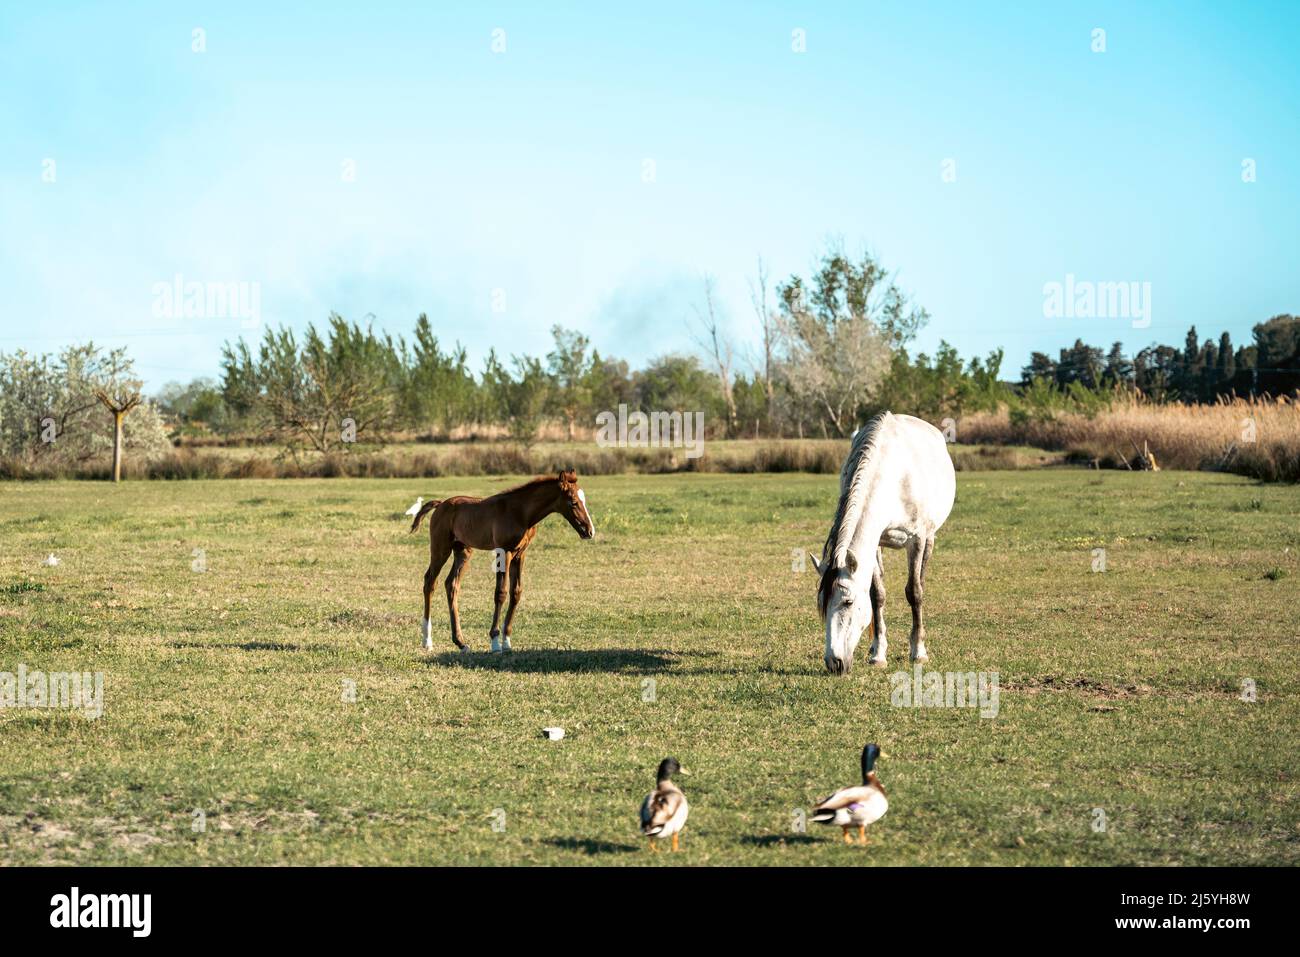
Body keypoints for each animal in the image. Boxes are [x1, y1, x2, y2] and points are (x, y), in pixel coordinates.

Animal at [409, 469, 595, 653]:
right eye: (573, 502)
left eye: (584, 500)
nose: (589, 531)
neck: (521, 513)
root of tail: (440, 504)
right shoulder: (504, 552)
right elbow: (501, 592)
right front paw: (495, 641)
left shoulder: (520, 554)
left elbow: (516, 592)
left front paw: (507, 641)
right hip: (441, 549)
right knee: (430, 583)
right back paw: (427, 641)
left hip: (463, 551)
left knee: (451, 585)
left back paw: (461, 642)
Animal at [810, 412, 955, 675]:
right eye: (821, 605)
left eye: (848, 602)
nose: (834, 663)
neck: (894, 477)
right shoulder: (874, 541)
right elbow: (876, 595)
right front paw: (878, 653)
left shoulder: (917, 539)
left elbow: (914, 592)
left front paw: (918, 651)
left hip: (929, 539)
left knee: (921, 582)